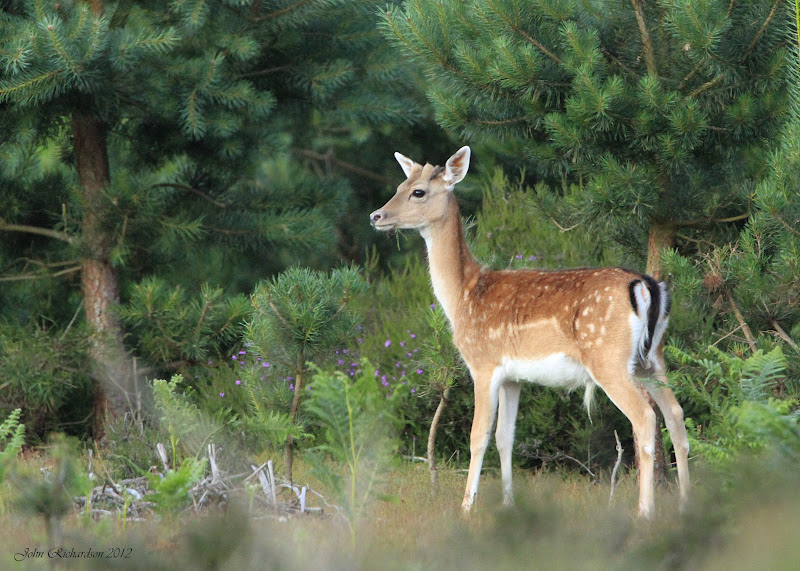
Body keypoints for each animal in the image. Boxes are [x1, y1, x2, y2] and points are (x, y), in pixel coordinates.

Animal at [369, 146, 690, 518]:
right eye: (399, 185)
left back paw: (644, 512)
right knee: (676, 415)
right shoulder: (513, 377)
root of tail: (647, 286)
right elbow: (505, 437)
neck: (463, 296)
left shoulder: (483, 363)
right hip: (652, 358)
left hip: (608, 358)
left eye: (418, 192)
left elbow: (478, 436)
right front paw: (508, 503)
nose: (376, 216)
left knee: (645, 417)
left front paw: (466, 507)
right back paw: (687, 502)